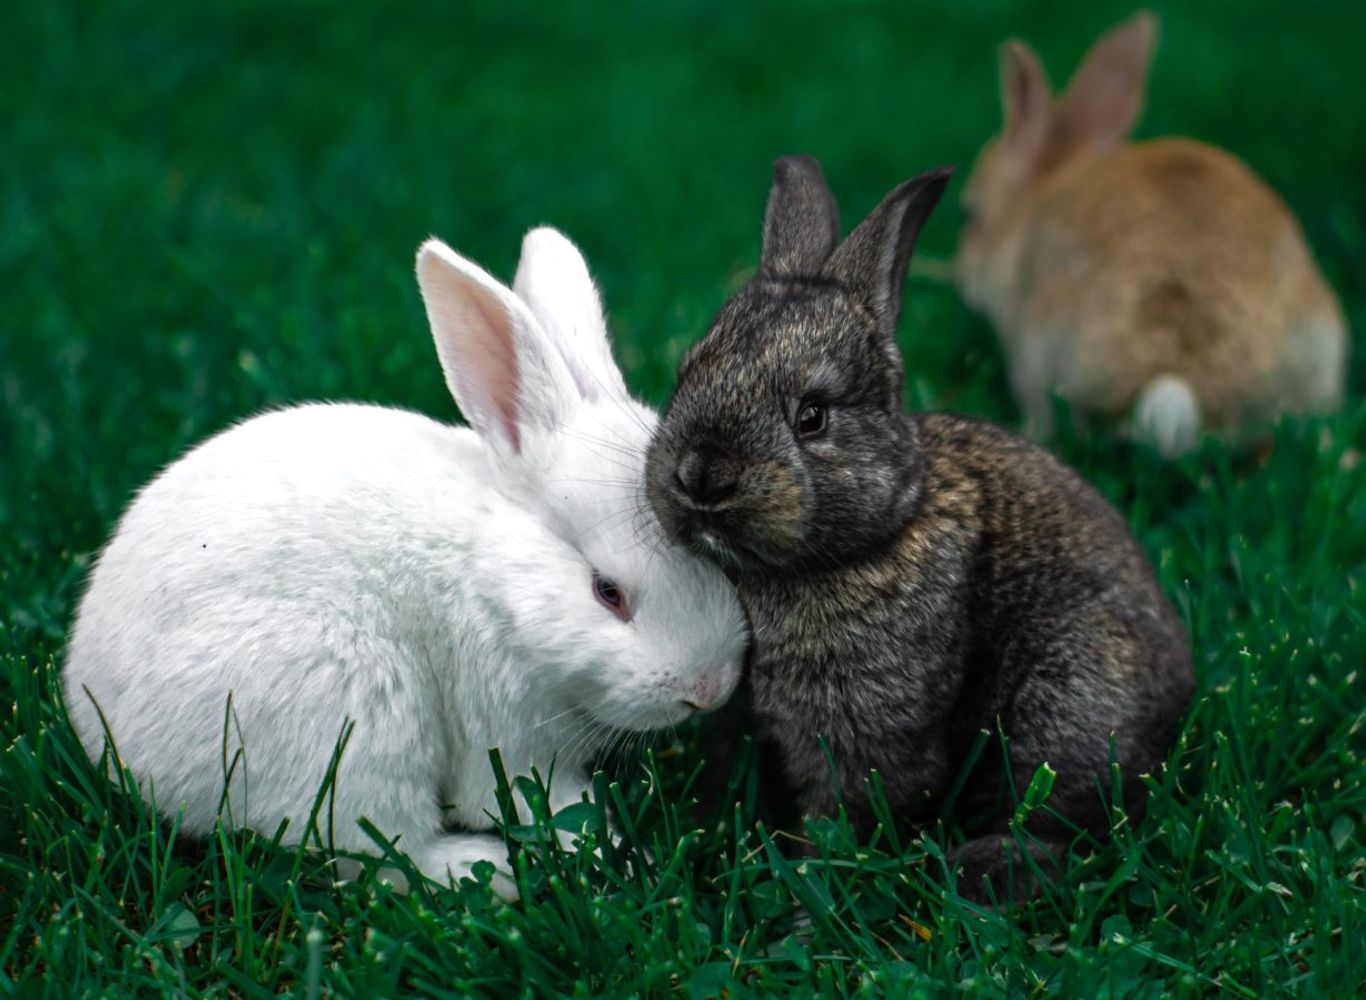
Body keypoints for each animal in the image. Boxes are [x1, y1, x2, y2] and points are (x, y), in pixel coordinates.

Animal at [63, 227, 748, 899]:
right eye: (607, 591)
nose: (707, 690)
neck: (495, 579)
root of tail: (105, 731)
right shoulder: (503, 727)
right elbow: (536, 801)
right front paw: (622, 857)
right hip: (355, 718)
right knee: (380, 853)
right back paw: (485, 871)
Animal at [645, 155, 1195, 901]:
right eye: (686, 374)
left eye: (813, 416)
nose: (702, 476)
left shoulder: (862, 730)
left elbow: (848, 806)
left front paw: (809, 881)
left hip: (1072, 701)